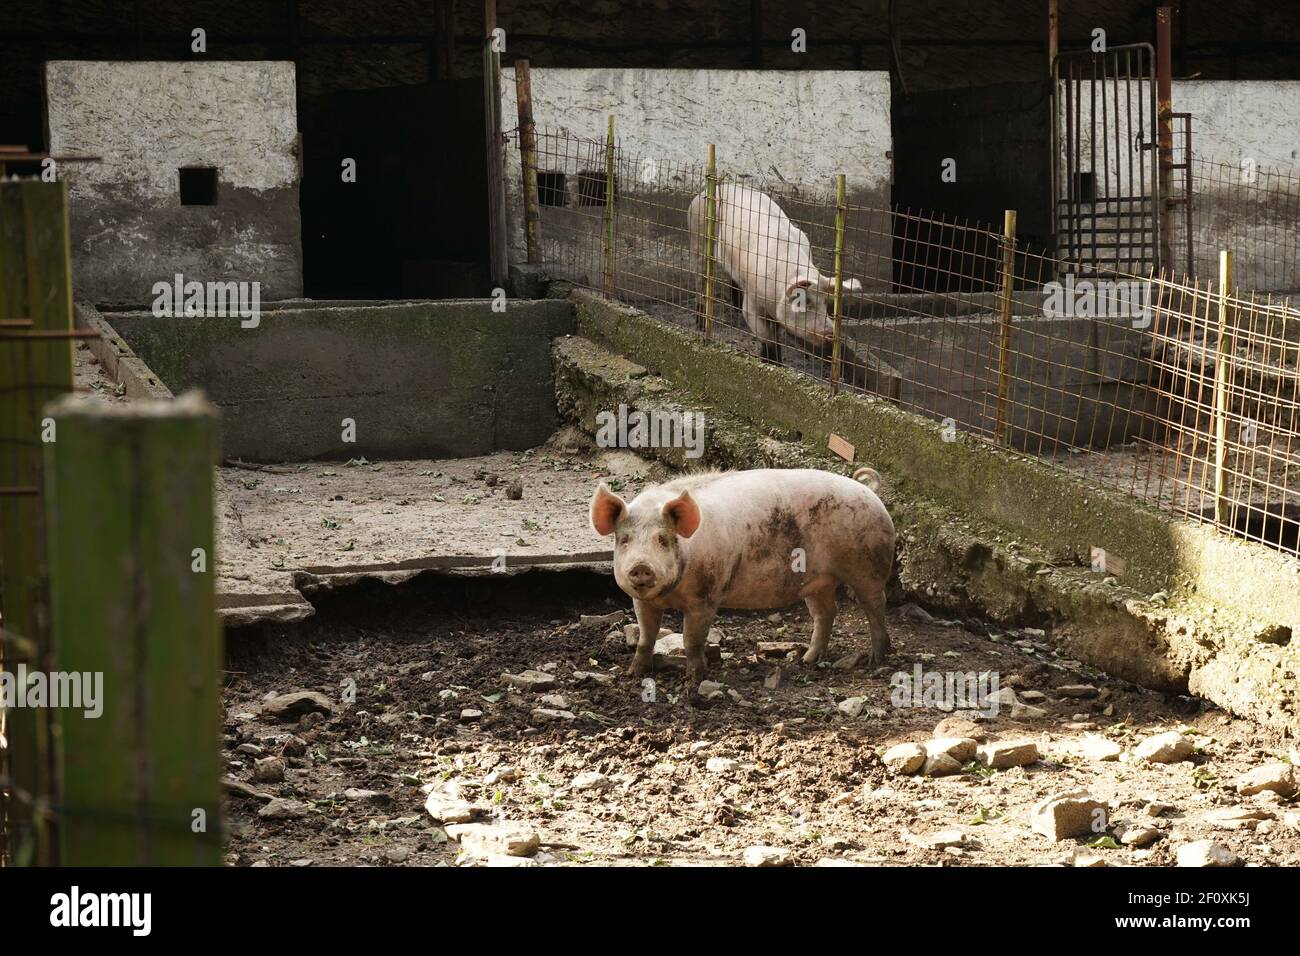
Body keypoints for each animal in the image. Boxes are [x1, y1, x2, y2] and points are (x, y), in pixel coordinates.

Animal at [590, 467, 895, 694]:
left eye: (662, 539)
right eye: (624, 540)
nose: (641, 566)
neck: (671, 595)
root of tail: (870, 490)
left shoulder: (706, 596)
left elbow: (692, 641)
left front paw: (694, 681)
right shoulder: (642, 601)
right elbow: (645, 638)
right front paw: (633, 674)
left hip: (868, 567)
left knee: (876, 607)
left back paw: (875, 660)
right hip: (817, 580)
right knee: (827, 612)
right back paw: (806, 660)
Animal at [687, 183, 867, 382]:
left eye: (825, 303)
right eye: (804, 302)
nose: (830, 334)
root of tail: (715, 187)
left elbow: (777, 335)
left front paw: (777, 363)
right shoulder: (752, 303)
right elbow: (767, 337)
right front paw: (771, 364)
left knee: (731, 281)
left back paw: (734, 312)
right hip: (697, 236)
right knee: (700, 279)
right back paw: (701, 324)